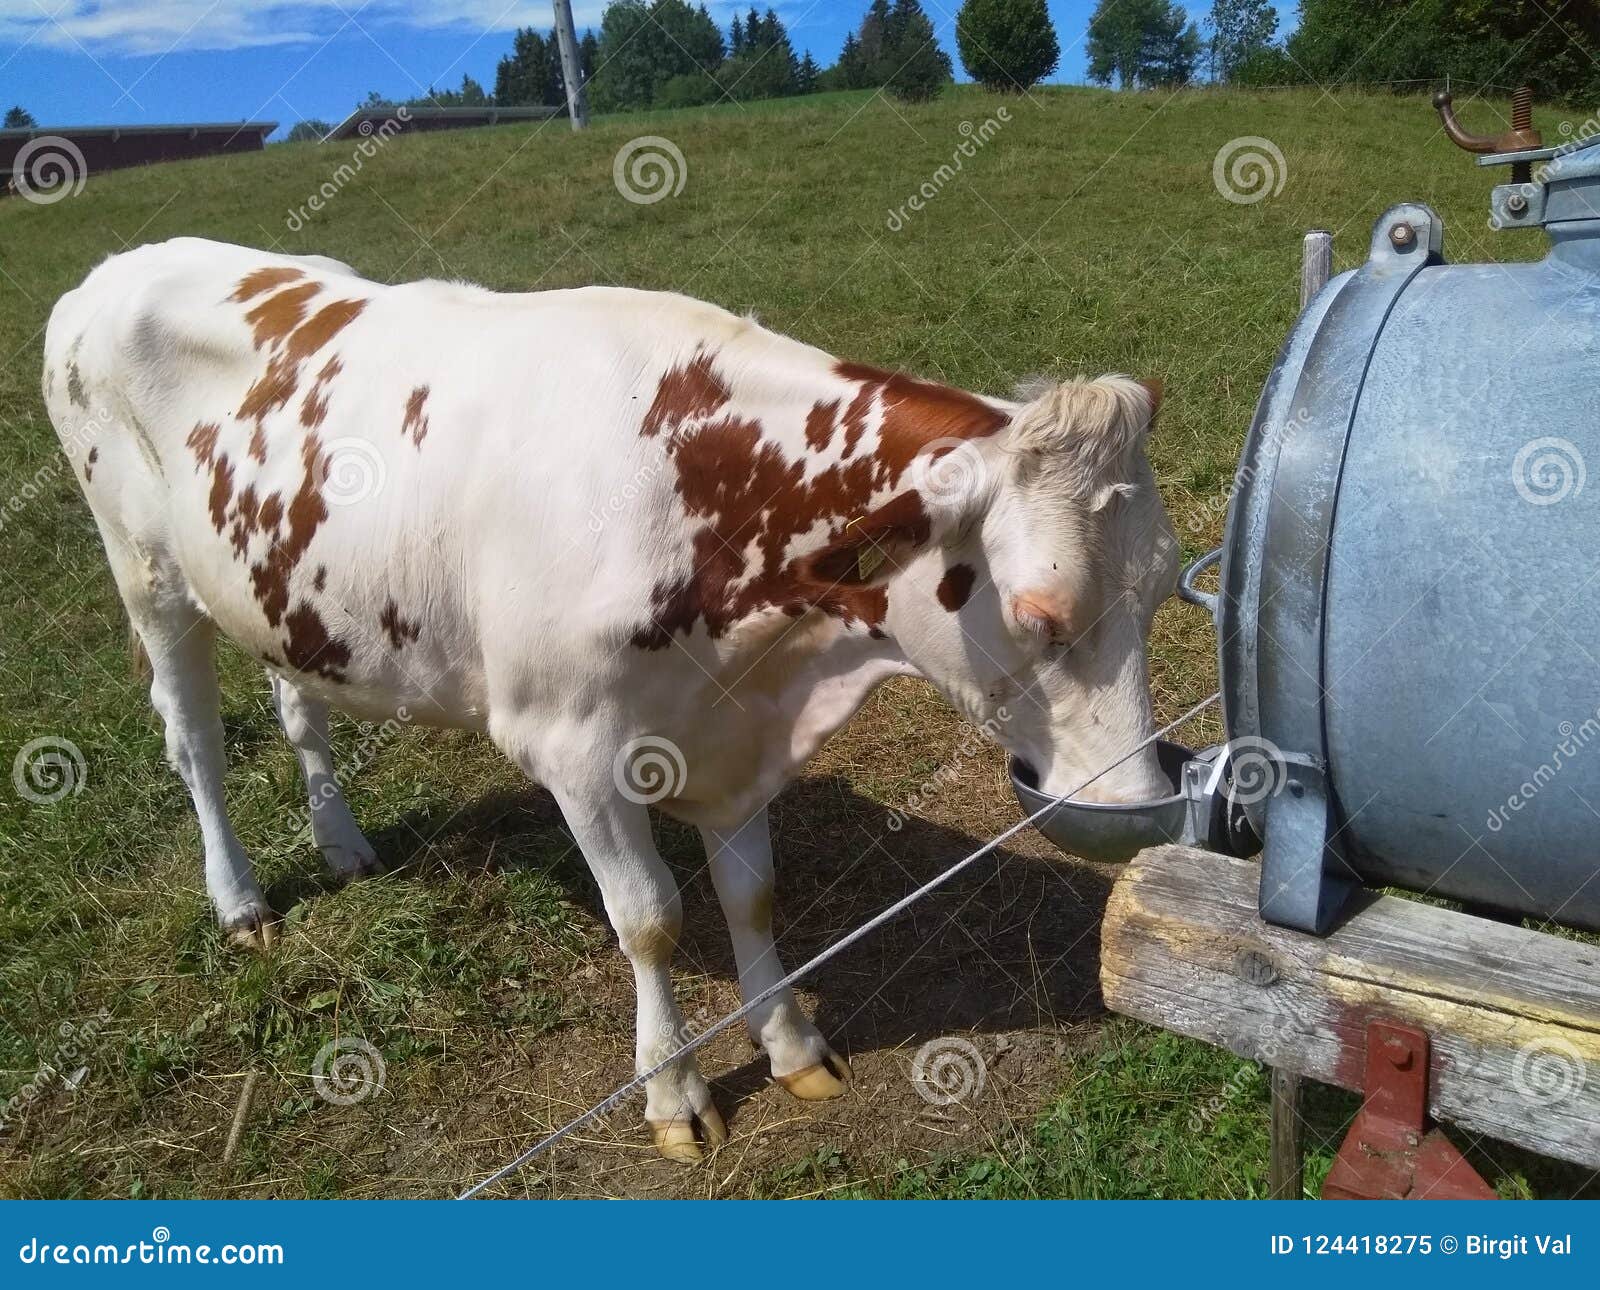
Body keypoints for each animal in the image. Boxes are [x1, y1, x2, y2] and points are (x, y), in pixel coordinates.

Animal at [43, 238, 1178, 1163]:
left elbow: (750, 895)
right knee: (194, 742)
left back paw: (342, 842)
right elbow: (650, 920)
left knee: (298, 705)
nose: (1132, 811)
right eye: (1037, 615)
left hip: (278, 589)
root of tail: (114, 269)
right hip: (146, 574)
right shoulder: (572, 749)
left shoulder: (734, 731)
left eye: (1165, 584)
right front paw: (674, 1091)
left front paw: (790, 1045)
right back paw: (240, 900)